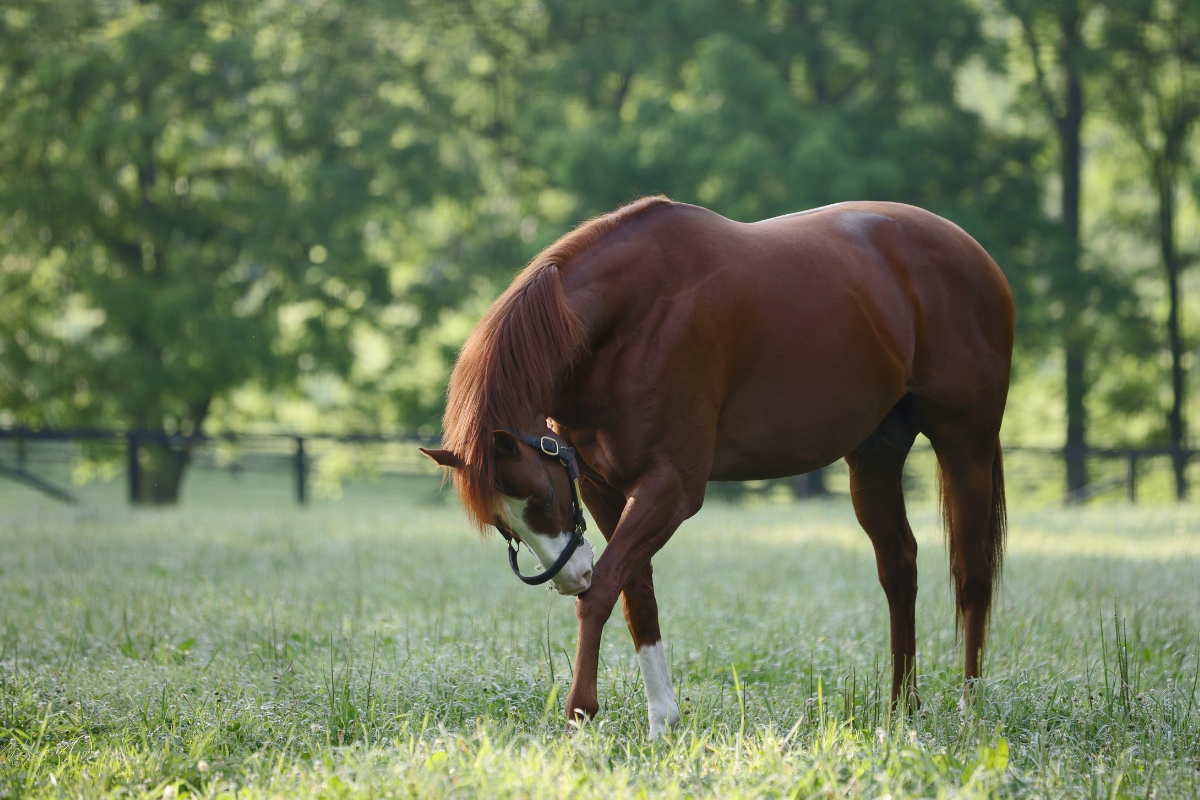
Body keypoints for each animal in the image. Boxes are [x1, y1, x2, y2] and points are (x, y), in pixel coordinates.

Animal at [421, 195, 1013, 739]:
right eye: (502, 522)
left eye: (541, 496)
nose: (569, 576)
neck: (630, 317)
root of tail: (977, 257)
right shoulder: (603, 488)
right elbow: (636, 595)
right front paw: (662, 723)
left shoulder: (672, 488)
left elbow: (604, 591)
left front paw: (581, 711)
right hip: (875, 457)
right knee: (899, 567)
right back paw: (901, 713)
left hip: (966, 445)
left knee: (973, 574)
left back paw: (969, 712)